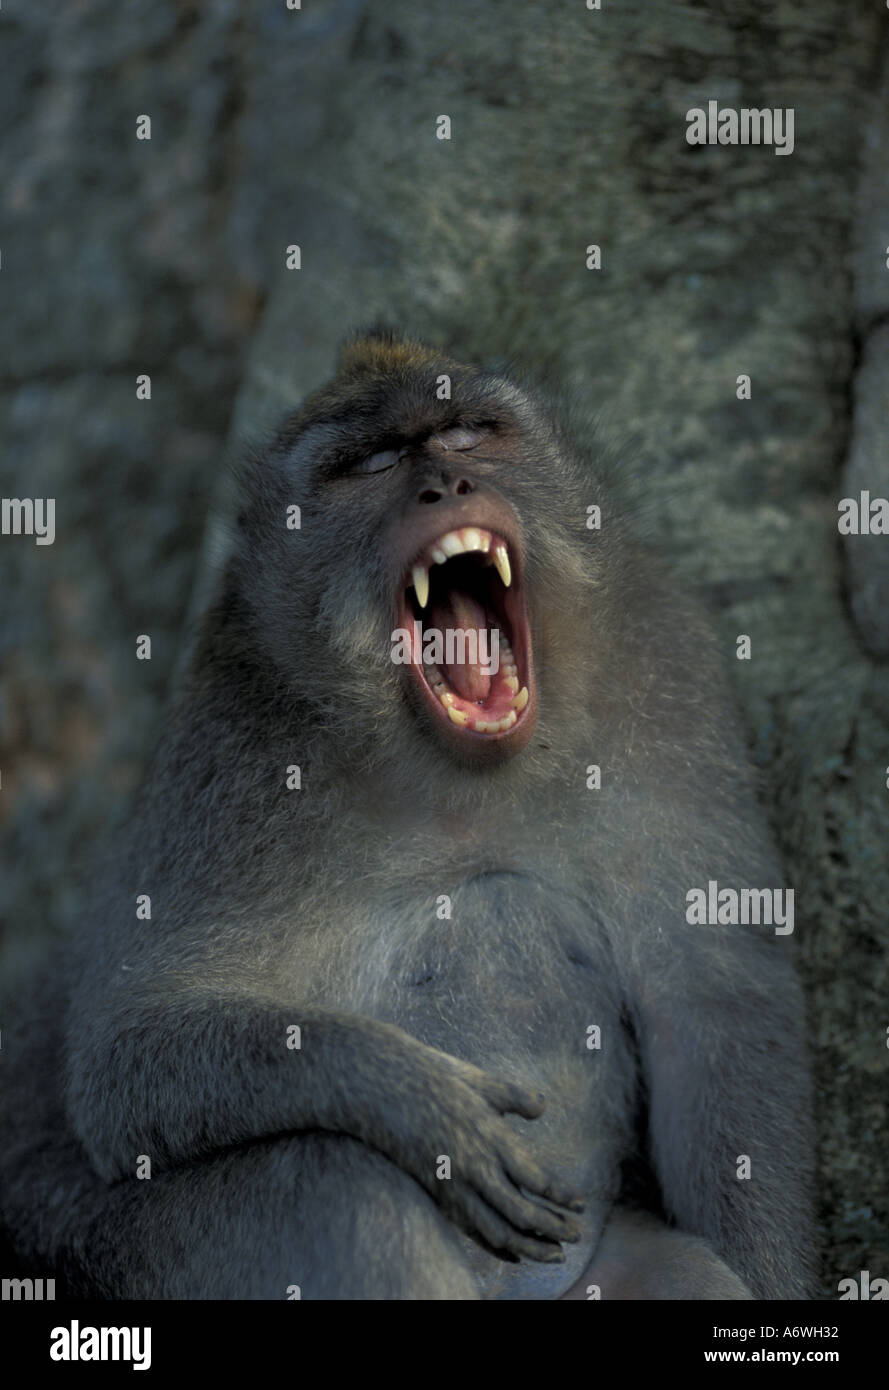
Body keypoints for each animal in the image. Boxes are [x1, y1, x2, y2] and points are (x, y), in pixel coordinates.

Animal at [0, 328, 814, 1300]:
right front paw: (414, 1103)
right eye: (373, 464)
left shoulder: (667, 664)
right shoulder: (226, 763)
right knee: (335, 1181)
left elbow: (711, 996)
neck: (463, 778)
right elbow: (125, 1061)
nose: (445, 486)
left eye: (466, 434)